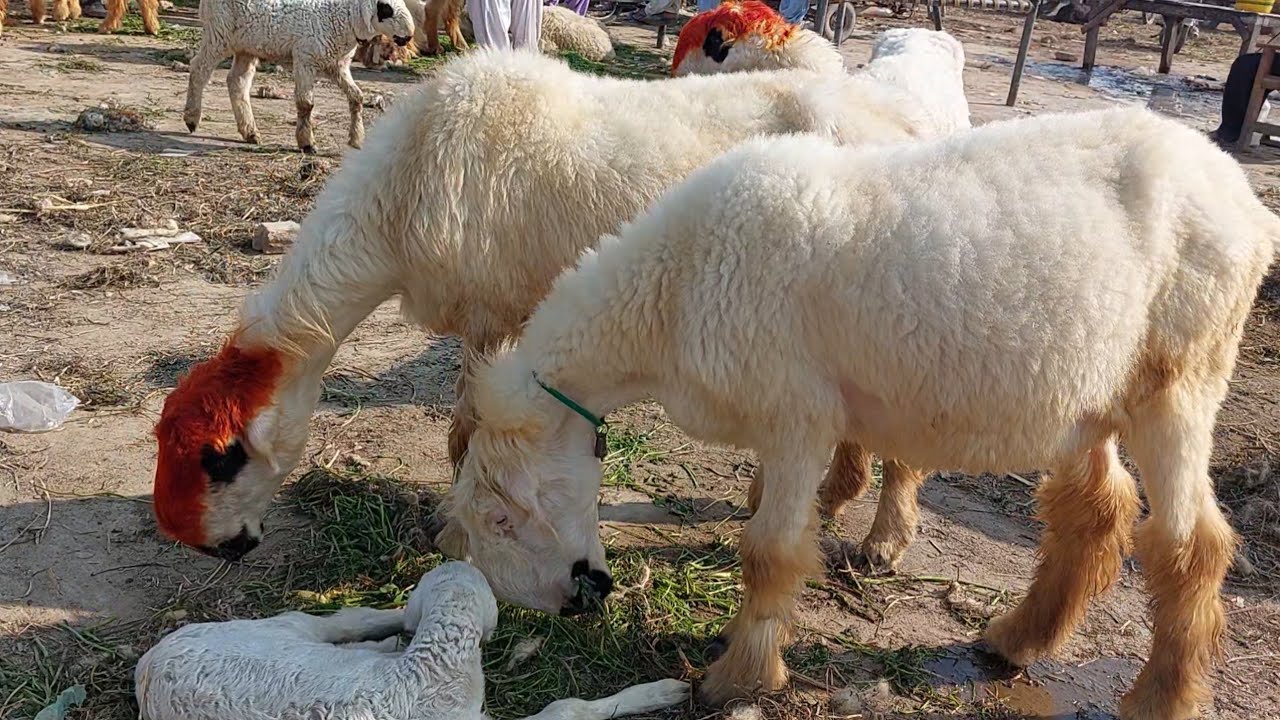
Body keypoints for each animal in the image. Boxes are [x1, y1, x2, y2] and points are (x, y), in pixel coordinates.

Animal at [136, 561, 691, 720]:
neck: (430, 668)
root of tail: (147, 666)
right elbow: (568, 709)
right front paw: (662, 691)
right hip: (277, 630)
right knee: (345, 621)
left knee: (347, 624)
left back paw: (381, 643)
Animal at [149, 36, 969, 568]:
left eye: (220, 458)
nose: (207, 546)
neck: (399, 192)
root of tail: (900, 116)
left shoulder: (490, 314)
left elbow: (467, 428)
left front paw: (454, 527)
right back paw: (826, 496)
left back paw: (884, 540)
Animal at [182, 0, 416, 153]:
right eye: (386, 8)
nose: (408, 36)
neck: (341, 16)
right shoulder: (306, 58)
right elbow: (306, 103)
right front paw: (307, 143)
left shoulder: (337, 65)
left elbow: (356, 97)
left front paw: (356, 139)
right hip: (218, 34)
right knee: (199, 69)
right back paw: (192, 118)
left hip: (246, 45)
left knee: (237, 82)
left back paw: (250, 132)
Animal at [444, 106, 1278, 720]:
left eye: (500, 518)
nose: (569, 604)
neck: (669, 292)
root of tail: (1245, 200)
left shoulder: (795, 416)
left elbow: (770, 551)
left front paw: (739, 677)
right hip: (1090, 395)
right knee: (1095, 510)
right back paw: (1016, 638)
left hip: (1183, 376)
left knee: (1190, 544)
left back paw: (1161, 696)